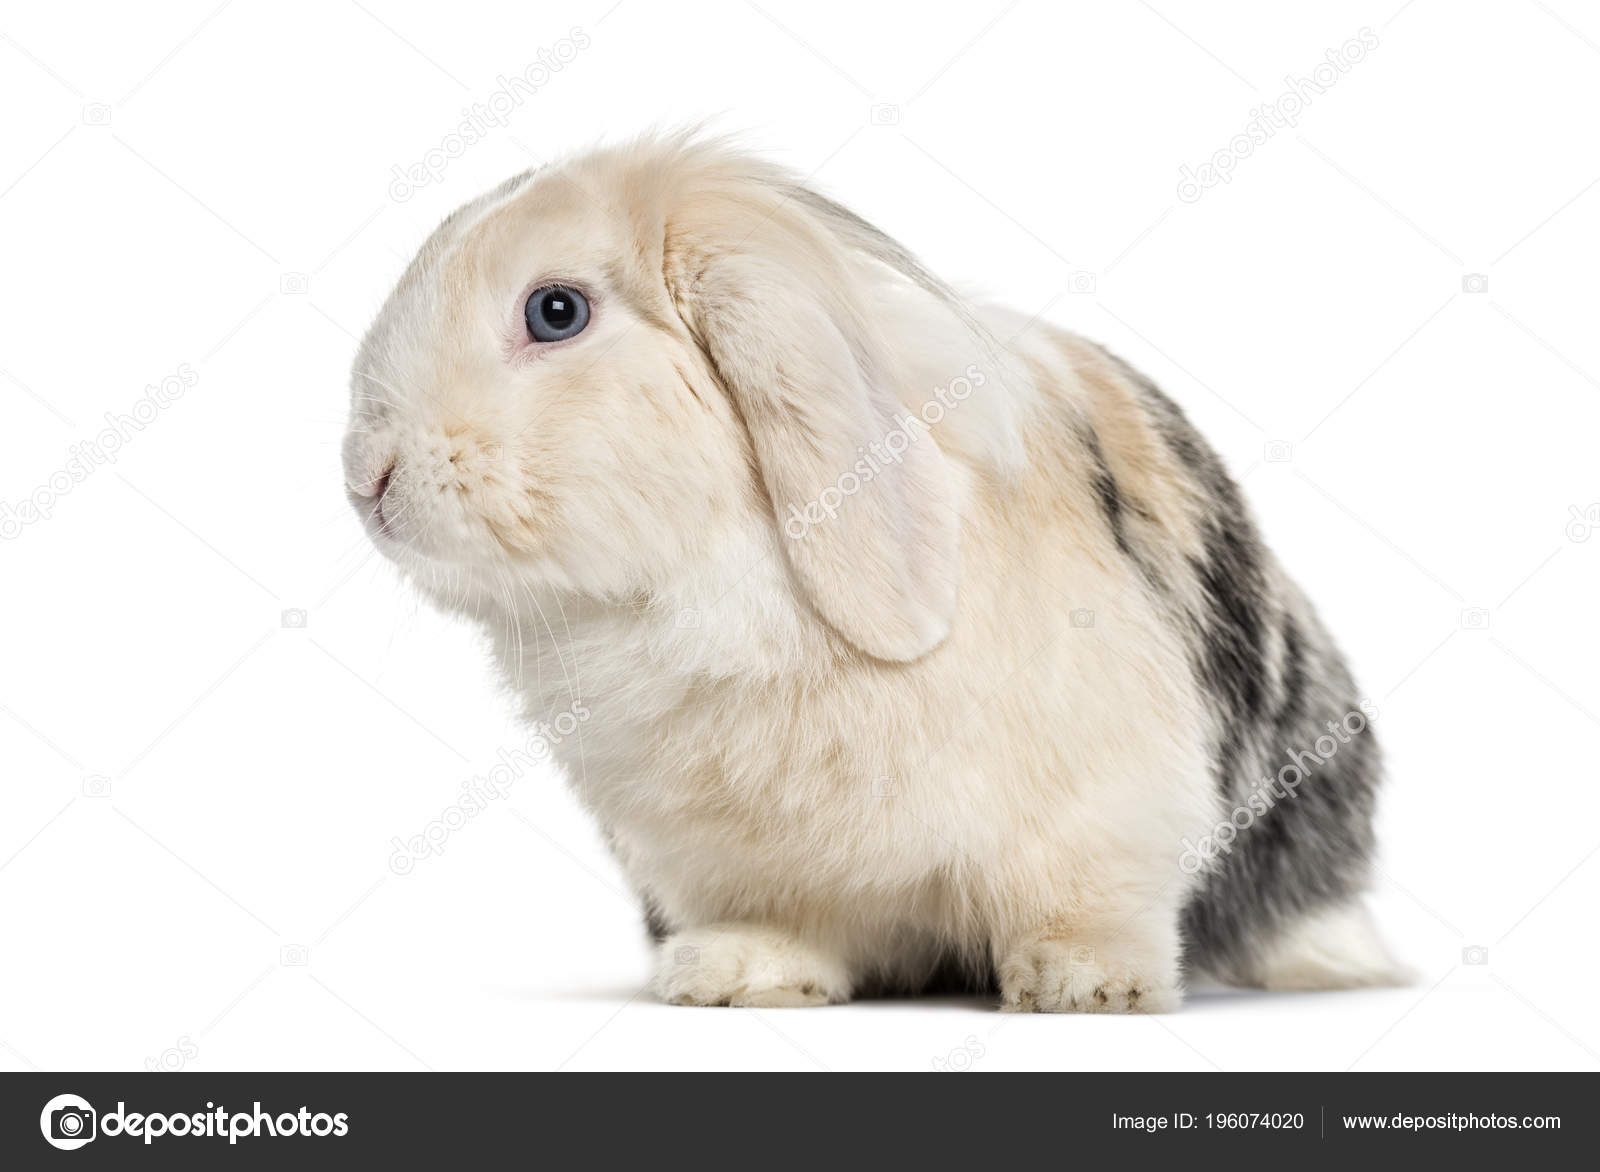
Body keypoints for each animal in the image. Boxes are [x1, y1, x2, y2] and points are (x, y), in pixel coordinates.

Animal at [343, 133, 1404, 1011]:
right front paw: (735, 976)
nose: (365, 476)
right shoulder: (739, 861)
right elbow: (783, 920)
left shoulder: (1109, 810)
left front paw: (1085, 987)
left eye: (556, 311)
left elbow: (1086, 904)